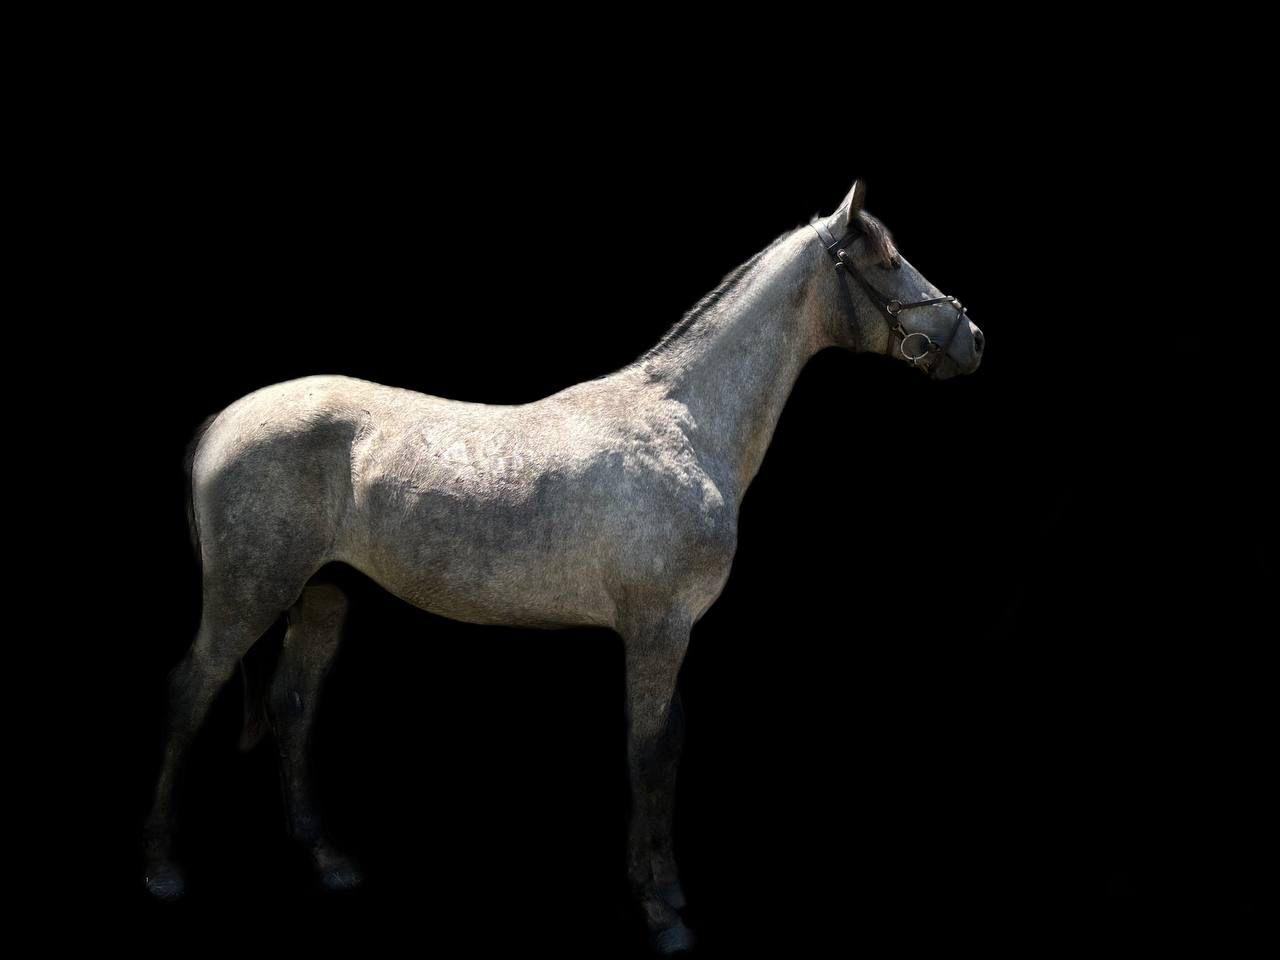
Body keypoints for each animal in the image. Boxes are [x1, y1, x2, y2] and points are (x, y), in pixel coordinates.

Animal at [143, 179, 984, 954]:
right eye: (885, 259)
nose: (971, 336)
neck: (683, 423)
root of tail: (220, 421)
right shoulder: (655, 630)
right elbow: (645, 750)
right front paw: (660, 914)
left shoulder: (674, 631)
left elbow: (669, 745)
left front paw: (668, 889)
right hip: (248, 596)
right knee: (187, 693)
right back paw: (162, 869)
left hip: (321, 596)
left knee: (289, 706)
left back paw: (328, 860)